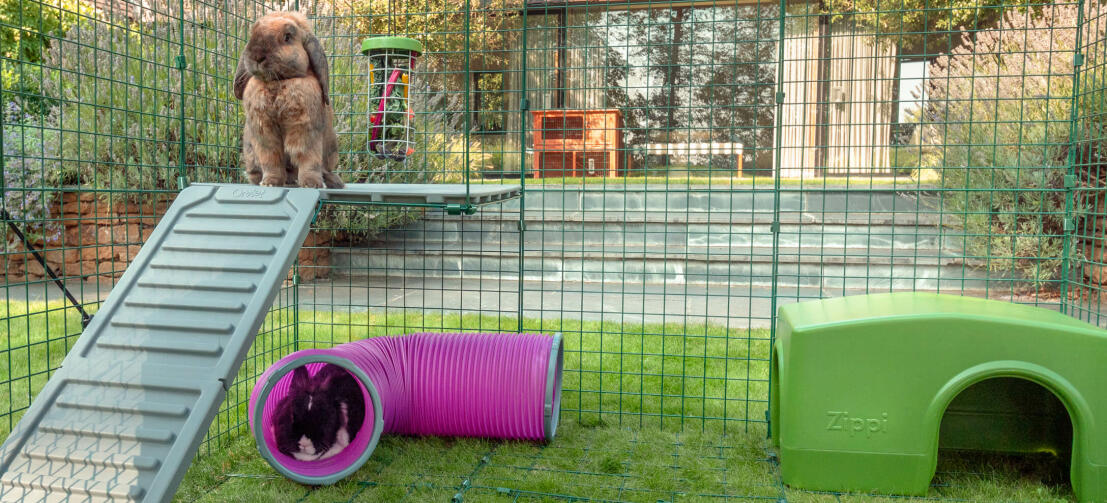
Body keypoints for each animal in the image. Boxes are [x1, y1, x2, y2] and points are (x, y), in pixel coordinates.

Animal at [236, 11, 345, 189]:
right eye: (253, 33)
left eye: (287, 37)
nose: (257, 56)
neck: (278, 81)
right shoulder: (265, 135)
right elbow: (271, 160)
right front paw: (270, 183)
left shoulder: (305, 131)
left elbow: (308, 159)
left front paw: (311, 184)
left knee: (324, 169)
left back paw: (334, 182)